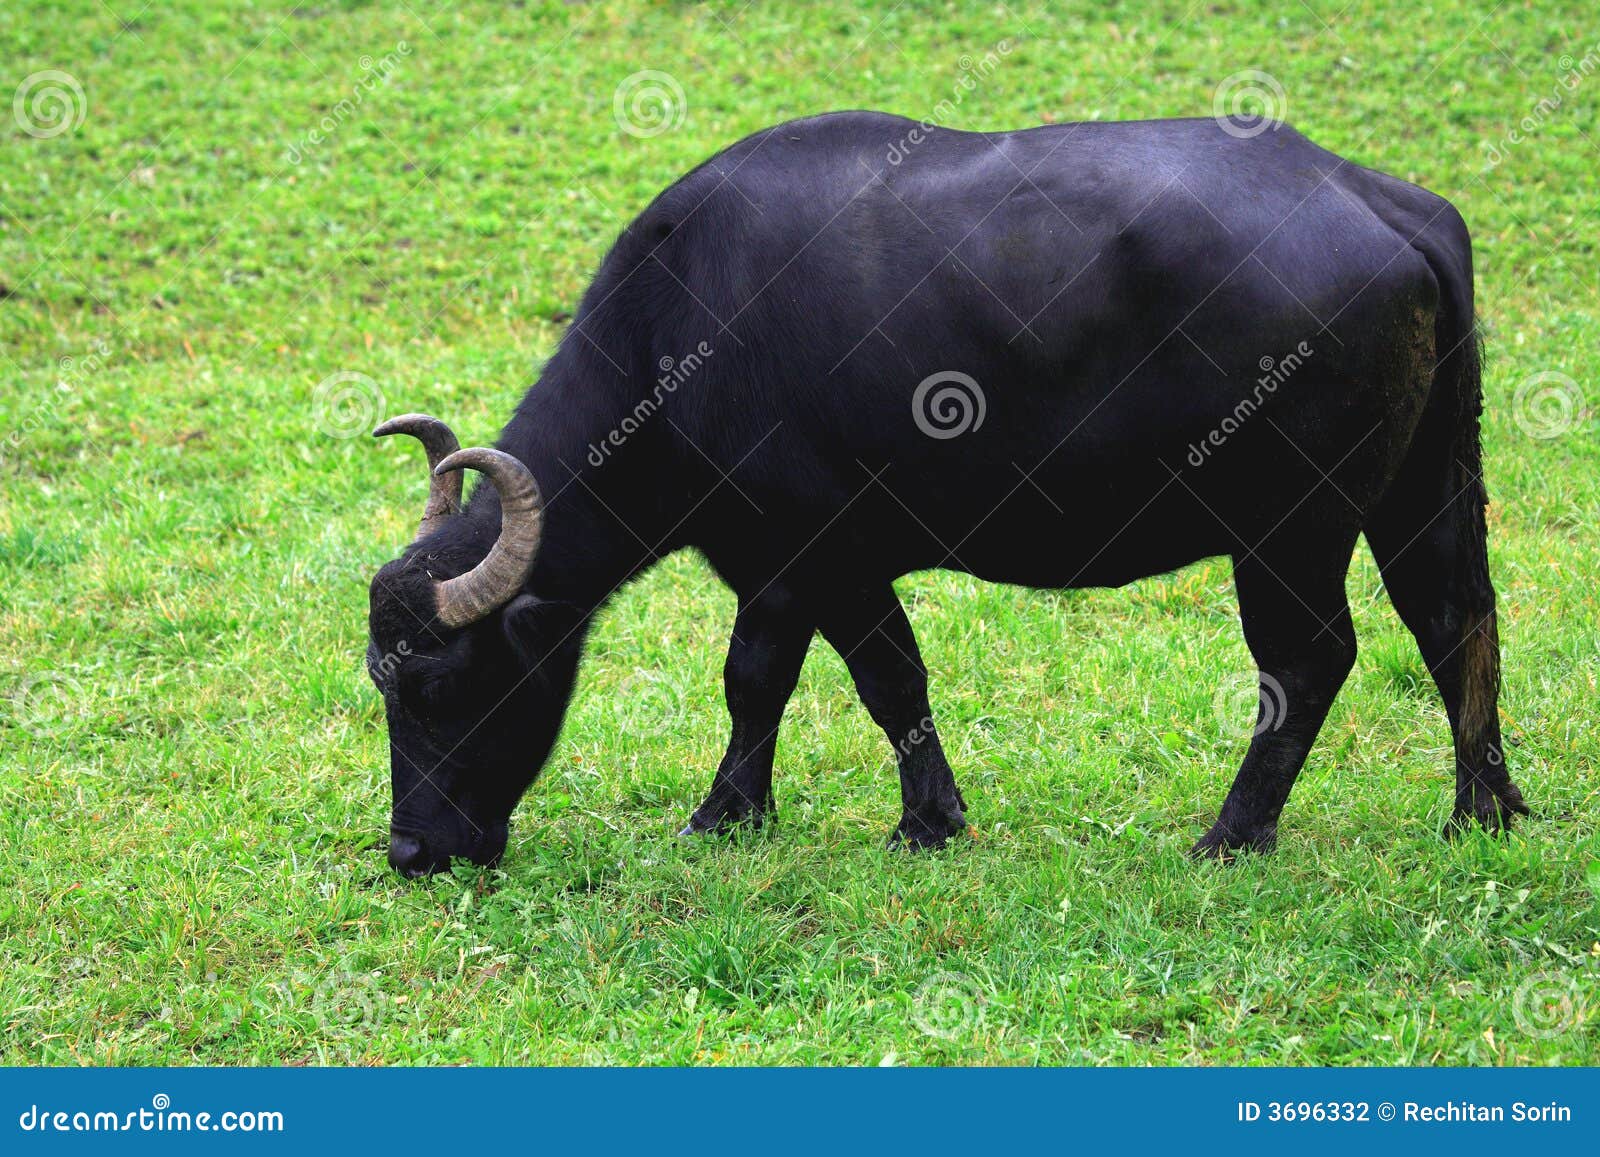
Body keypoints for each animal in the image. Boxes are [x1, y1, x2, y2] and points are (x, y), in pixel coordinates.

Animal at [365, 111, 1527, 876]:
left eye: (436, 684)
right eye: (378, 682)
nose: (413, 849)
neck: (674, 334)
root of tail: (1379, 203)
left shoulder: (816, 554)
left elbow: (846, 679)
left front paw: (891, 819)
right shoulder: (792, 565)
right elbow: (794, 681)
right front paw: (768, 813)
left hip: (1287, 528)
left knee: (1310, 659)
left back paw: (1233, 831)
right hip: (1424, 486)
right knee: (1453, 617)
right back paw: (1484, 809)